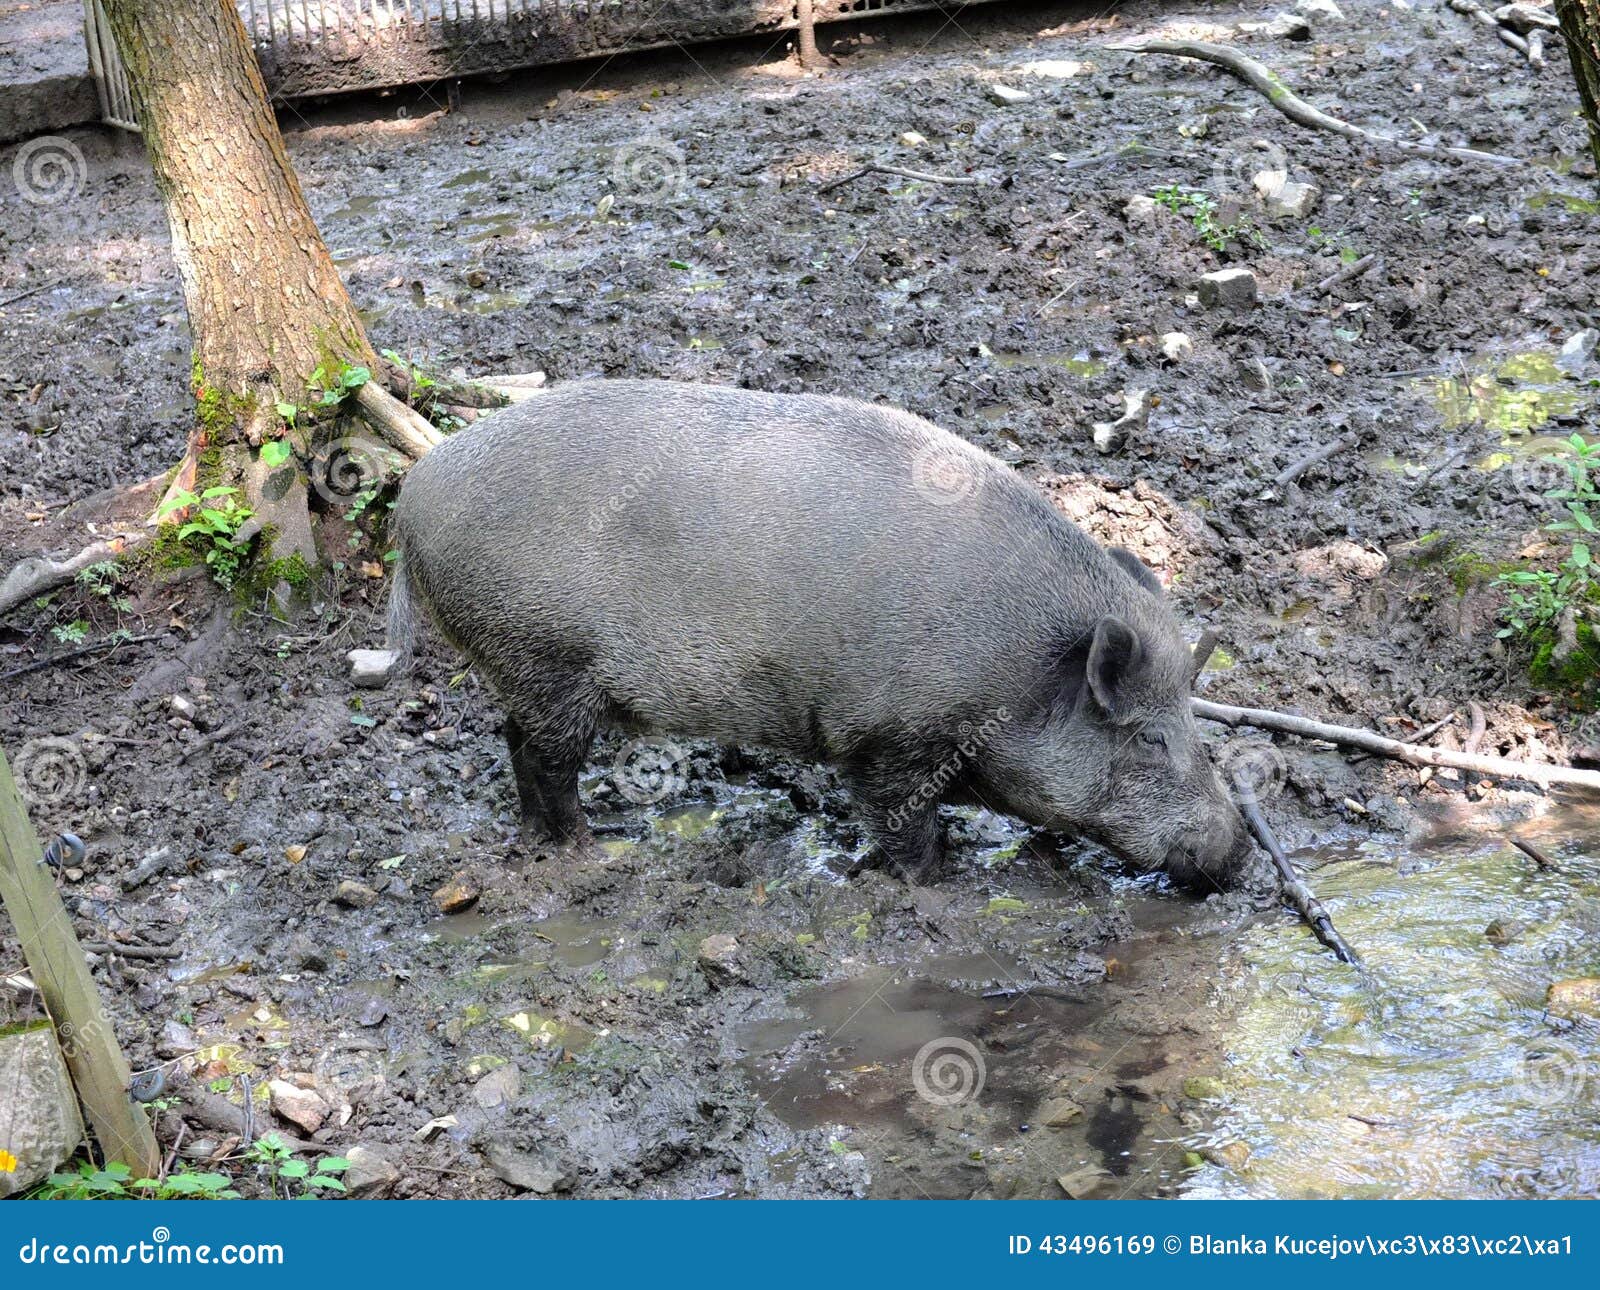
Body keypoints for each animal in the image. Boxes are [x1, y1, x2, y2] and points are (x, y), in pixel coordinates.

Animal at [387, 379, 1249, 891]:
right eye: (1148, 739)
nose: (1238, 851)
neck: (1022, 667)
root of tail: (414, 488)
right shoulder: (892, 737)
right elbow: (905, 827)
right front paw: (934, 883)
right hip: (545, 658)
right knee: (544, 757)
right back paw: (596, 849)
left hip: (524, 667)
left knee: (513, 740)